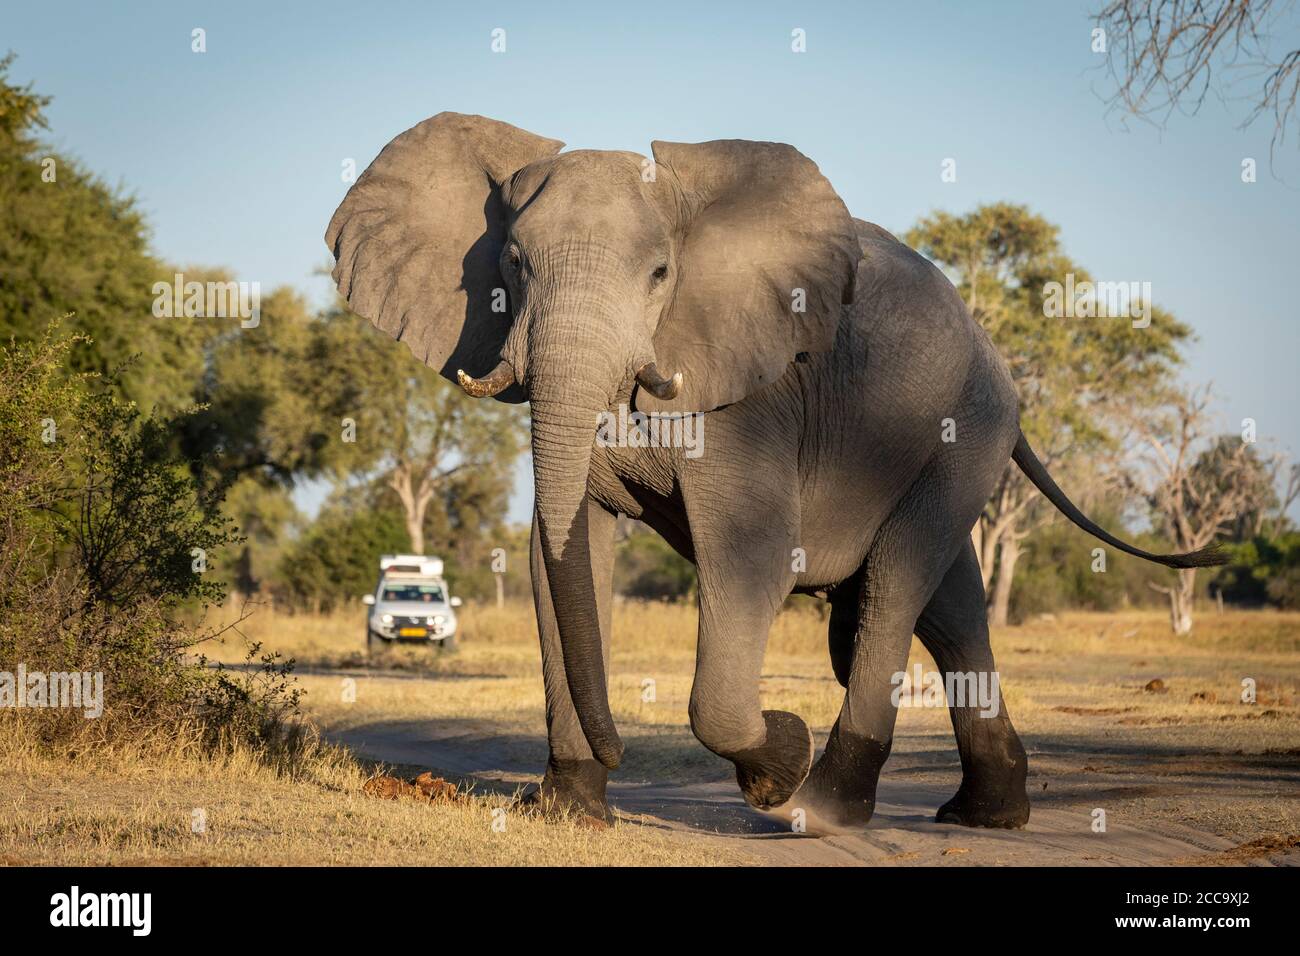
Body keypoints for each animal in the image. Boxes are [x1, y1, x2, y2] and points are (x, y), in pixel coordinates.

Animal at [324, 113, 1224, 829]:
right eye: (512, 263)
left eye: (660, 274)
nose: (612, 757)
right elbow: (562, 559)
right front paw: (569, 813)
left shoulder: (751, 404)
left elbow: (750, 558)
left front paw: (778, 758)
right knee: (952, 607)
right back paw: (986, 815)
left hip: (966, 431)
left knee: (897, 585)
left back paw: (821, 808)